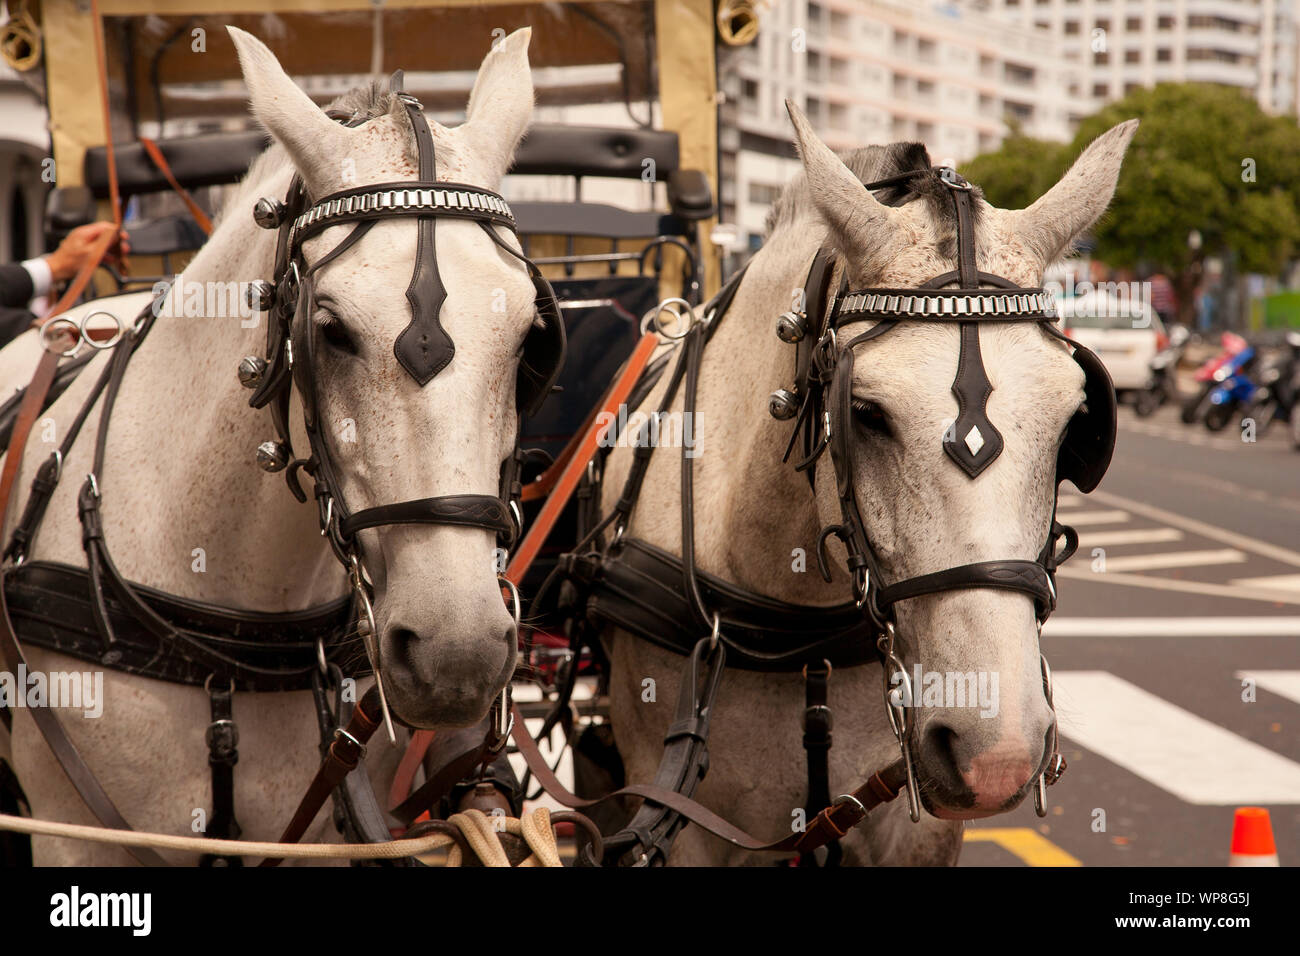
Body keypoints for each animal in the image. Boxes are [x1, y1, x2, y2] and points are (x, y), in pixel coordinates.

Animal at [593, 105, 1136, 865]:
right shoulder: (675, 816)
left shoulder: (917, 829)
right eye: (864, 413)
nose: (995, 754)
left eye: (1073, 421)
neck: (802, 639)